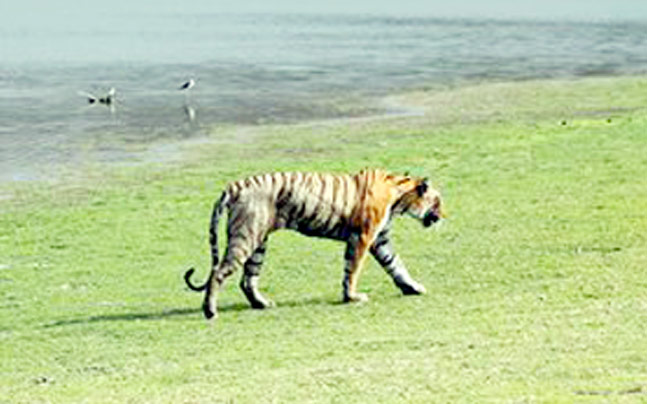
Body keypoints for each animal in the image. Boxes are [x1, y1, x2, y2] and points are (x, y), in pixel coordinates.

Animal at [184, 168, 445, 320]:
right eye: (438, 202)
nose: (444, 216)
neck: (399, 197)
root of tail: (235, 186)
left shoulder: (380, 240)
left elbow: (396, 265)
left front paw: (412, 287)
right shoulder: (363, 237)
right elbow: (353, 270)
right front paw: (352, 297)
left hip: (258, 243)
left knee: (247, 280)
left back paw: (262, 304)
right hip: (246, 237)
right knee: (218, 272)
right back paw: (210, 311)